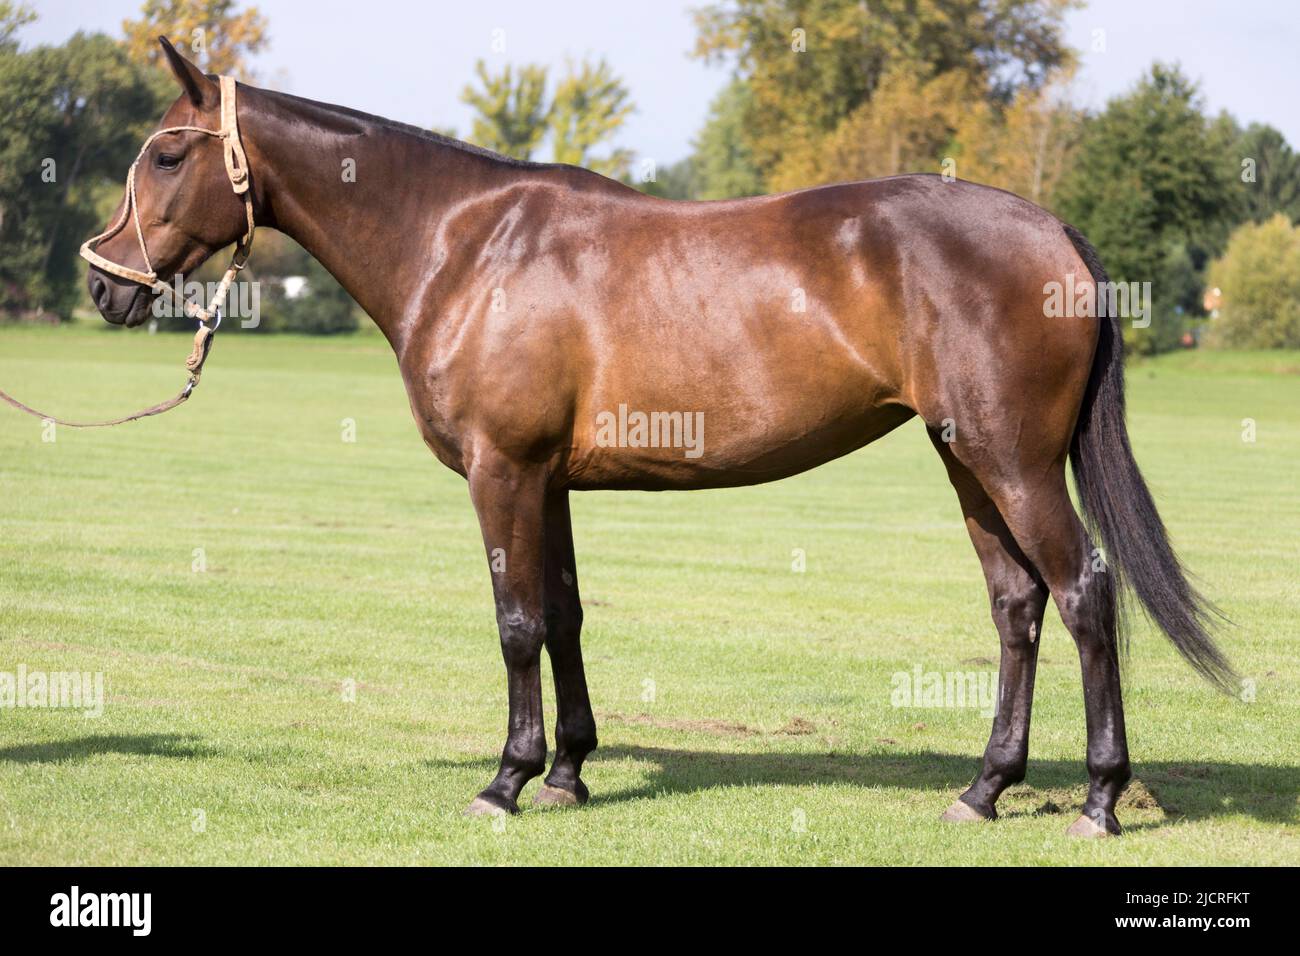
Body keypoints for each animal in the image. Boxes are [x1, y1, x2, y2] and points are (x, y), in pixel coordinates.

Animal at [84, 38, 1232, 836]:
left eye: (169, 152)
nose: (104, 282)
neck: (466, 243)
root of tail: (1055, 232)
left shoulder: (502, 471)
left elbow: (513, 621)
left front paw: (504, 780)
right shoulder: (546, 479)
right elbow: (563, 614)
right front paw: (566, 773)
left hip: (1013, 461)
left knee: (1082, 590)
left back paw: (1097, 799)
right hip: (967, 460)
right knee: (1016, 604)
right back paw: (985, 788)